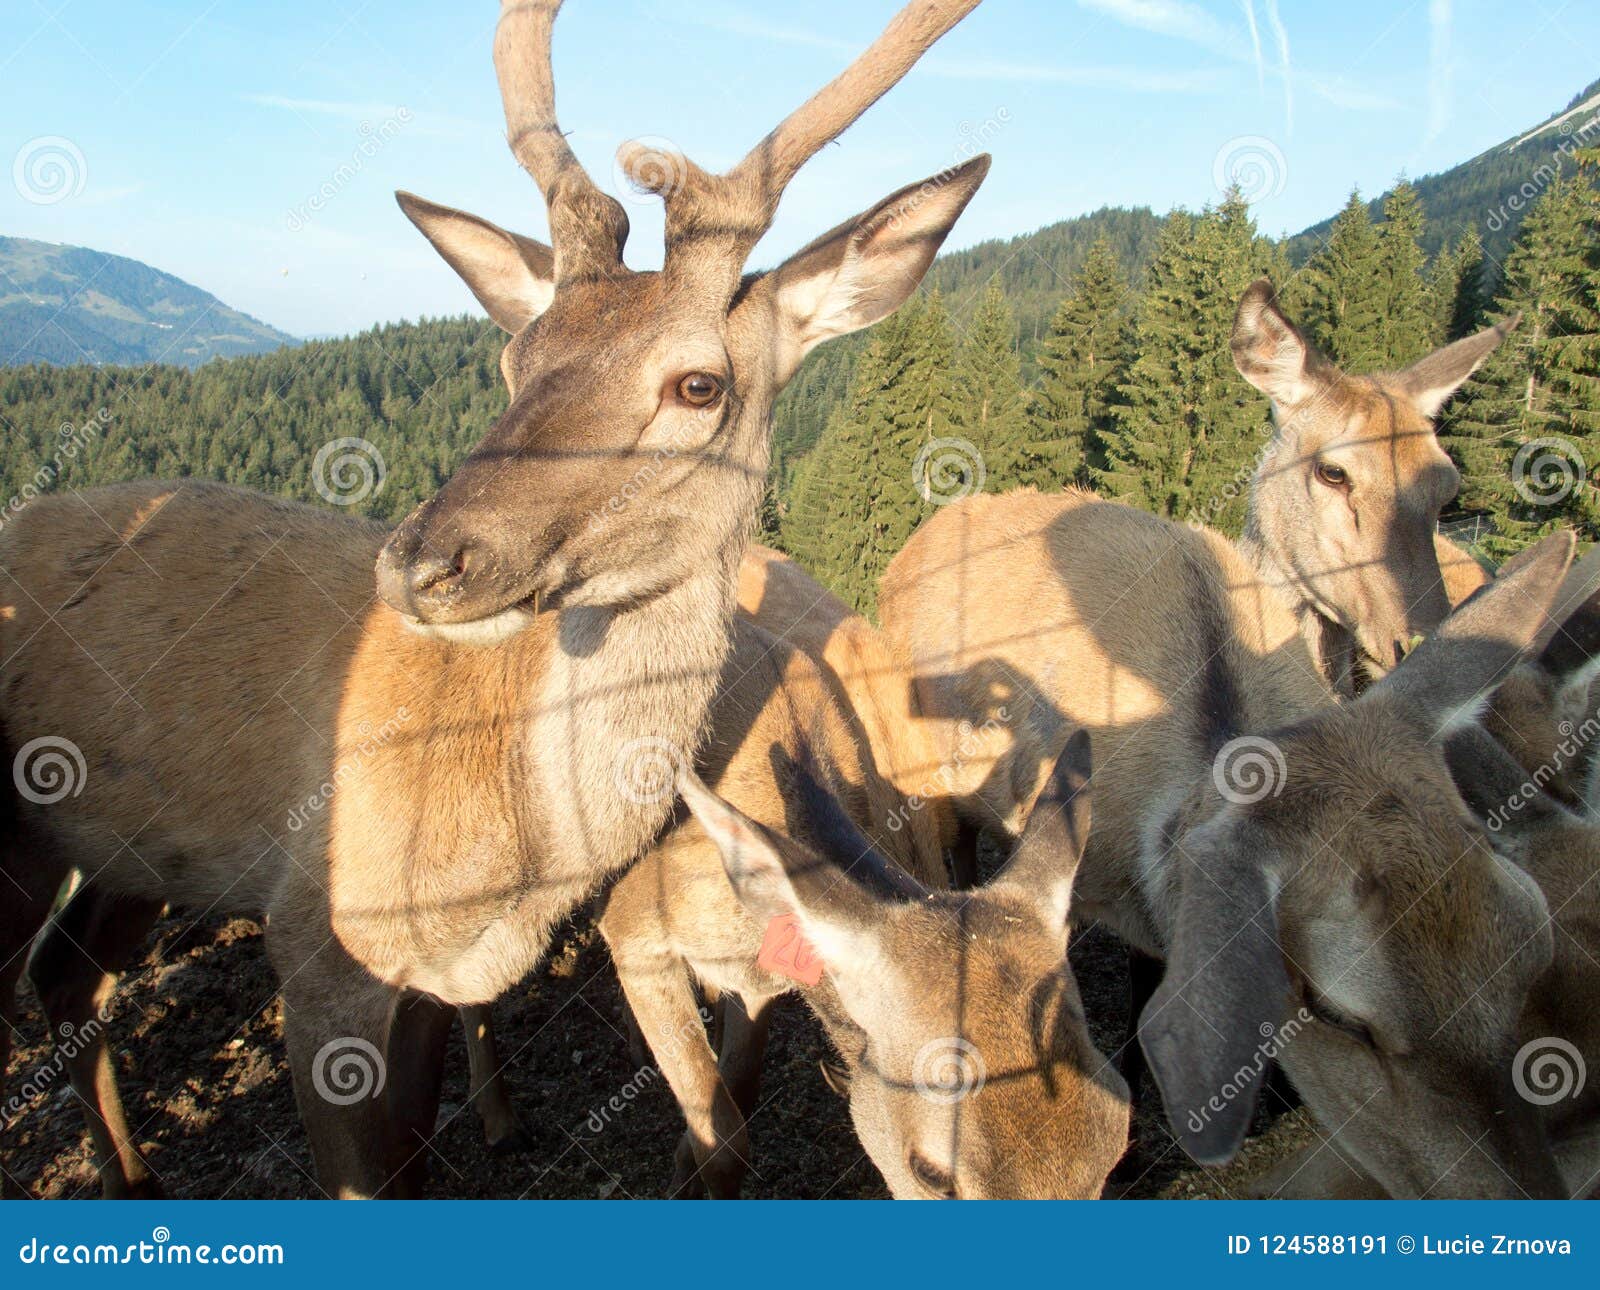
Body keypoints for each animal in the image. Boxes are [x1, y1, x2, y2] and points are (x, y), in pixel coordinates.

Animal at [0, 0, 991, 1199]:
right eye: (518, 357)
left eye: (697, 383)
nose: (424, 564)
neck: (498, 869)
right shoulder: (314, 944)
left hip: (122, 848)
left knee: (66, 972)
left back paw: (135, 1176)